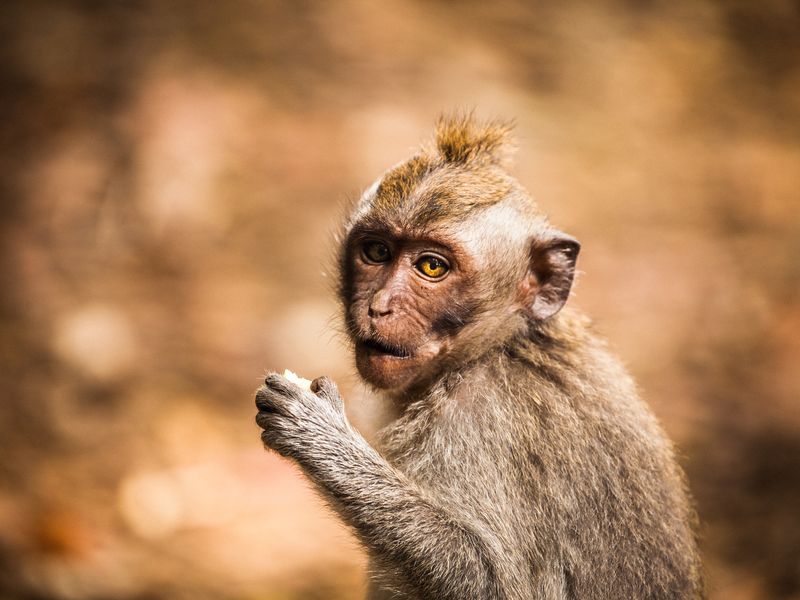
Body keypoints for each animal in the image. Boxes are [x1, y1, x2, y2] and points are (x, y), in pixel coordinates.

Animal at [255, 114, 704, 599]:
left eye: (432, 267)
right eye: (376, 252)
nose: (378, 307)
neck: (500, 346)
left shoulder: (481, 419)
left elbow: (496, 584)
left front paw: (321, 438)